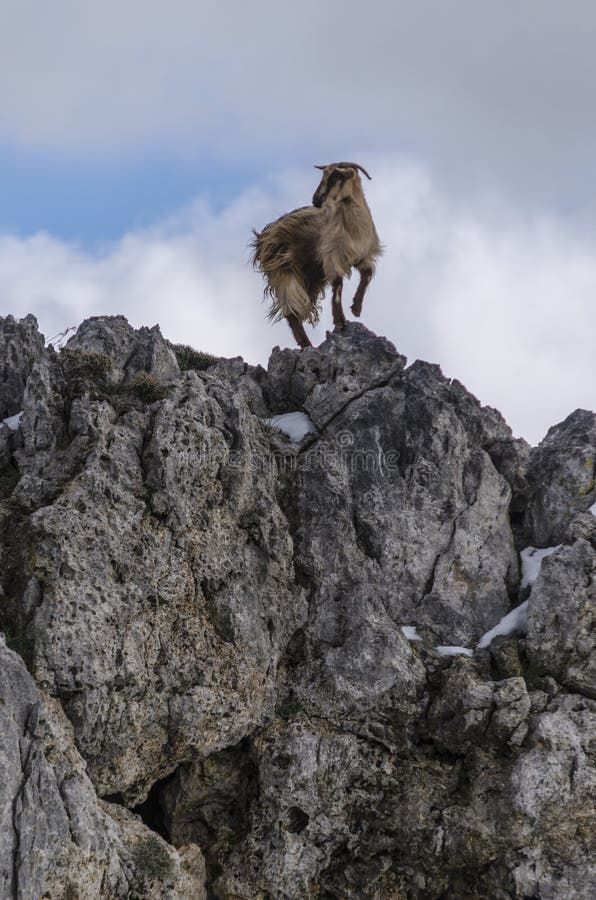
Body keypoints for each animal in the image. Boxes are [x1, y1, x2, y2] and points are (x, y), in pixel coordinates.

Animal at [251, 162, 382, 348]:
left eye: (336, 177)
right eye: (324, 176)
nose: (316, 200)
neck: (352, 228)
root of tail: (264, 236)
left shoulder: (361, 257)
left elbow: (367, 275)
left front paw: (356, 308)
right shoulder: (332, 257)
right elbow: (338, 285)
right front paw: (340, 321)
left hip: (310, 277)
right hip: (284, 271)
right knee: (291, 311)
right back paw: (306, 345)